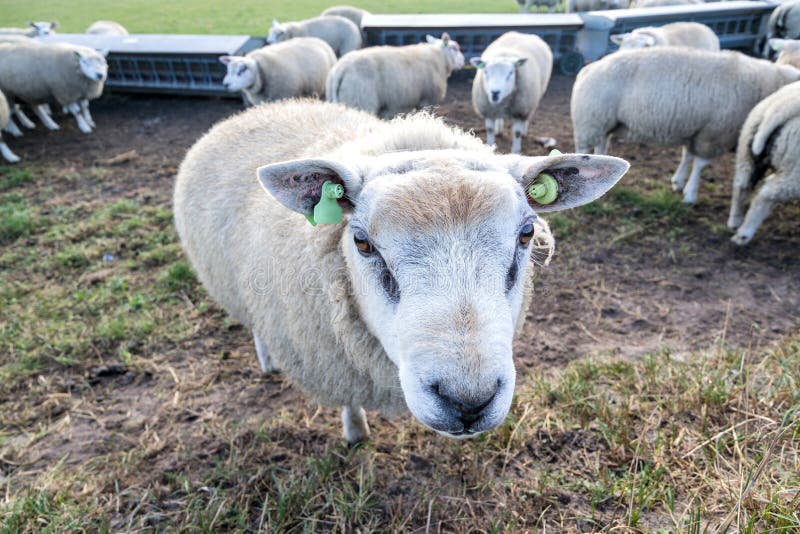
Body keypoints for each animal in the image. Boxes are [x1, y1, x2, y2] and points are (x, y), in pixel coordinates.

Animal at [174, 98, 630, 443]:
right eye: (361, 242)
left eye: (527, 233)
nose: (468, 402)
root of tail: (268, 107)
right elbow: (350, 403)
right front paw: (356, 434)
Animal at [326, 33, 465, 119]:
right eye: (455, 48)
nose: (463, 61)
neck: (439, 57)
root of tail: (341, 69)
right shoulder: (427, 100)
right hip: (361, 101)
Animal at [571, 47, 800, 204]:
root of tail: (589, 67)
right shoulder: (713, 134)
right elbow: (700, 164)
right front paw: (690, 194)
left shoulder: (696, 132)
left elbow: (688, 157)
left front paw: (679, 182)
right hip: (590, 121)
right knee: (583, 149)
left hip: (603, 123)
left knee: (601, 146)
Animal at [728, 82, 800, 244]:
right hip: (795, 173)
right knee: (764, 196)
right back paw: (744, 234)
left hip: (747, 152)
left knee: (741, 185)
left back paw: (735, 222)